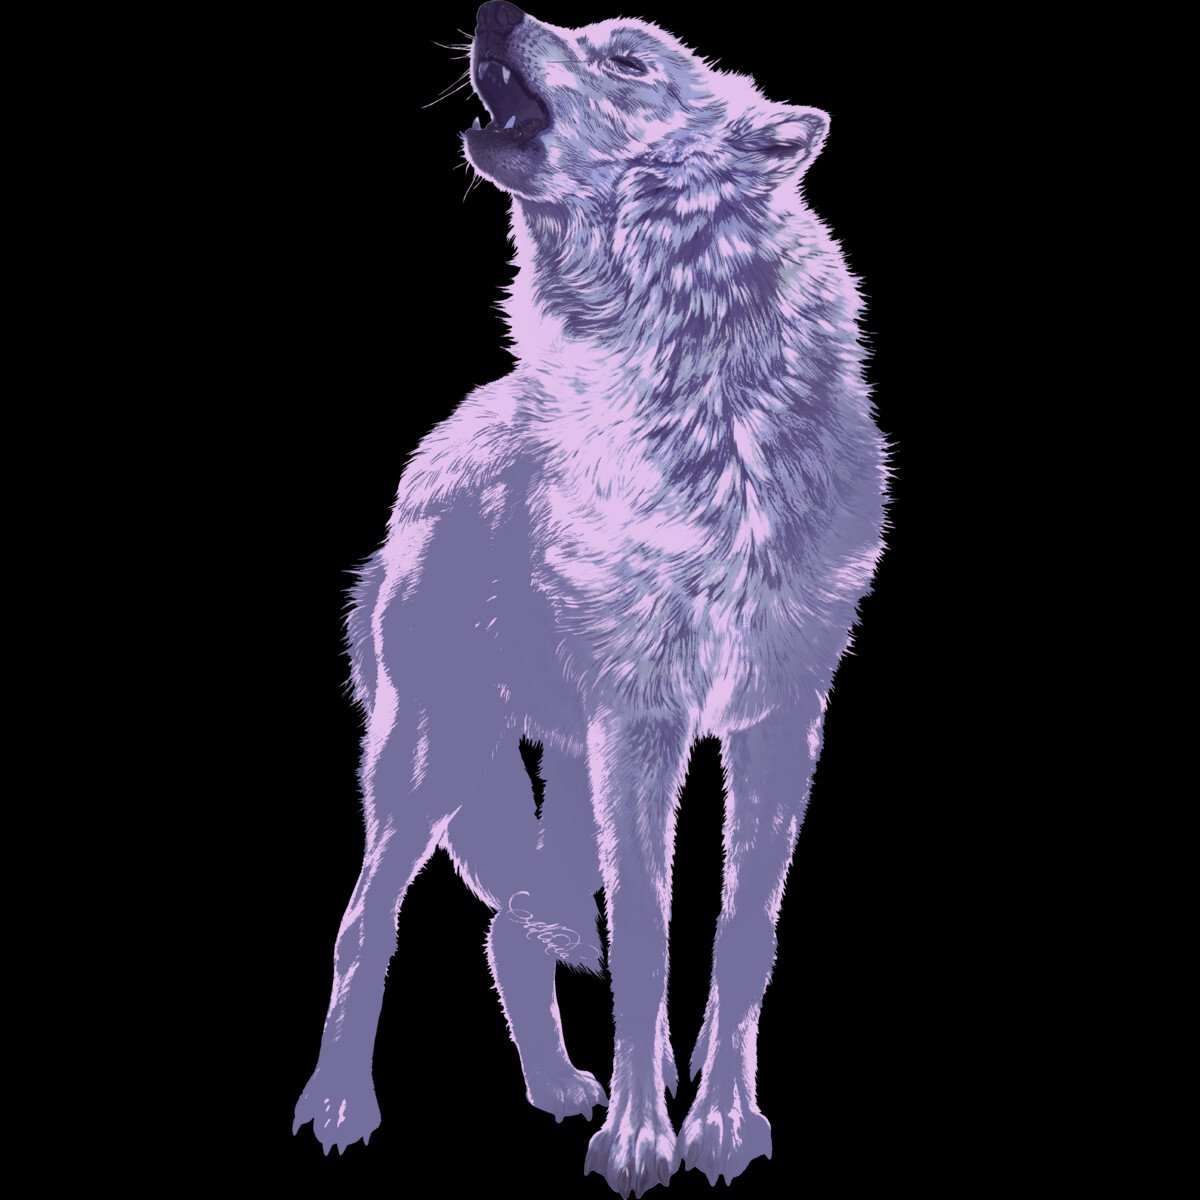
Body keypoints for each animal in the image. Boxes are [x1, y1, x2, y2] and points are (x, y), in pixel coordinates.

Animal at [293, 4, 887, 1195]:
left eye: (628, 60)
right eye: (600, 40)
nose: (494, 13)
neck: (710, 416)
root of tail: (435, 449)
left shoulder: (781, 721)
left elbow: (741, 937)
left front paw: (722, 1123)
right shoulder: (642, 725)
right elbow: (649, 938)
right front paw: (641, 1144)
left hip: (562, 764)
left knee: (517, 932)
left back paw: (562, 1088)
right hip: (433, 757)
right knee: (365, 925)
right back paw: (339, 1105)